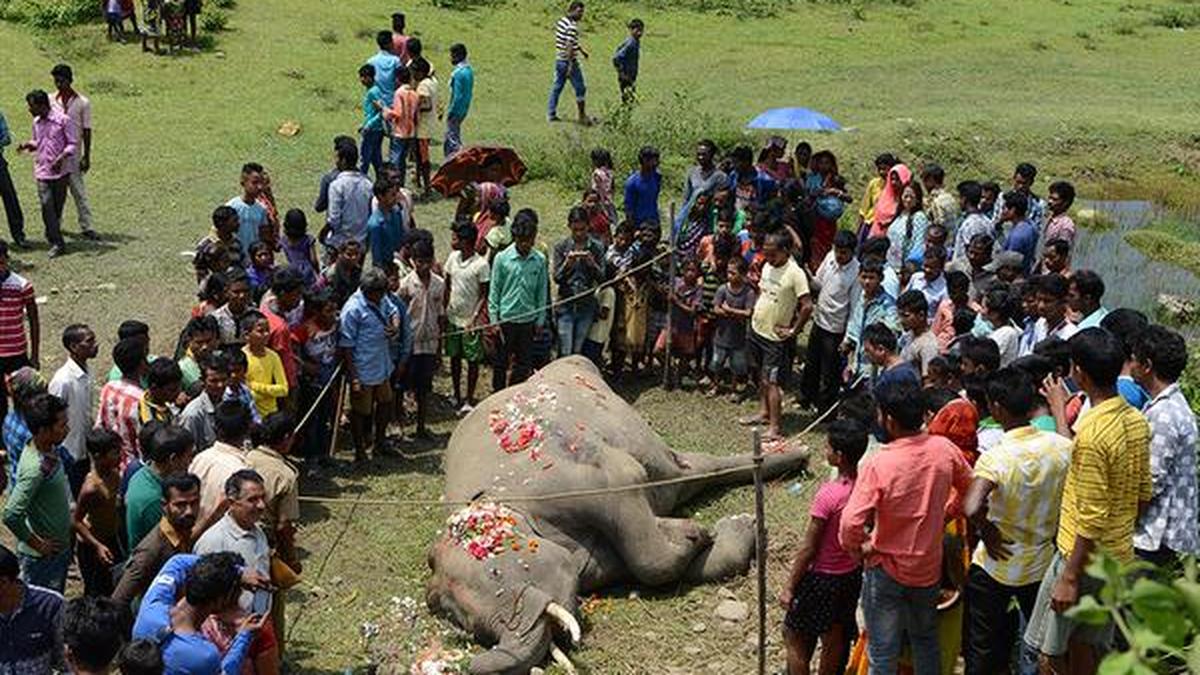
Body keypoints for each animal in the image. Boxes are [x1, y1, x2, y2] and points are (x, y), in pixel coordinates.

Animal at [425, 356, 808, 674]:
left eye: (494, 574)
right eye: (459, 621)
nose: (476, 660)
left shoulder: (582, 480)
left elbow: (649, 556)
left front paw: (703, 530)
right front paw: (709, 531)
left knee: (696, 468)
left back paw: (796, 454)